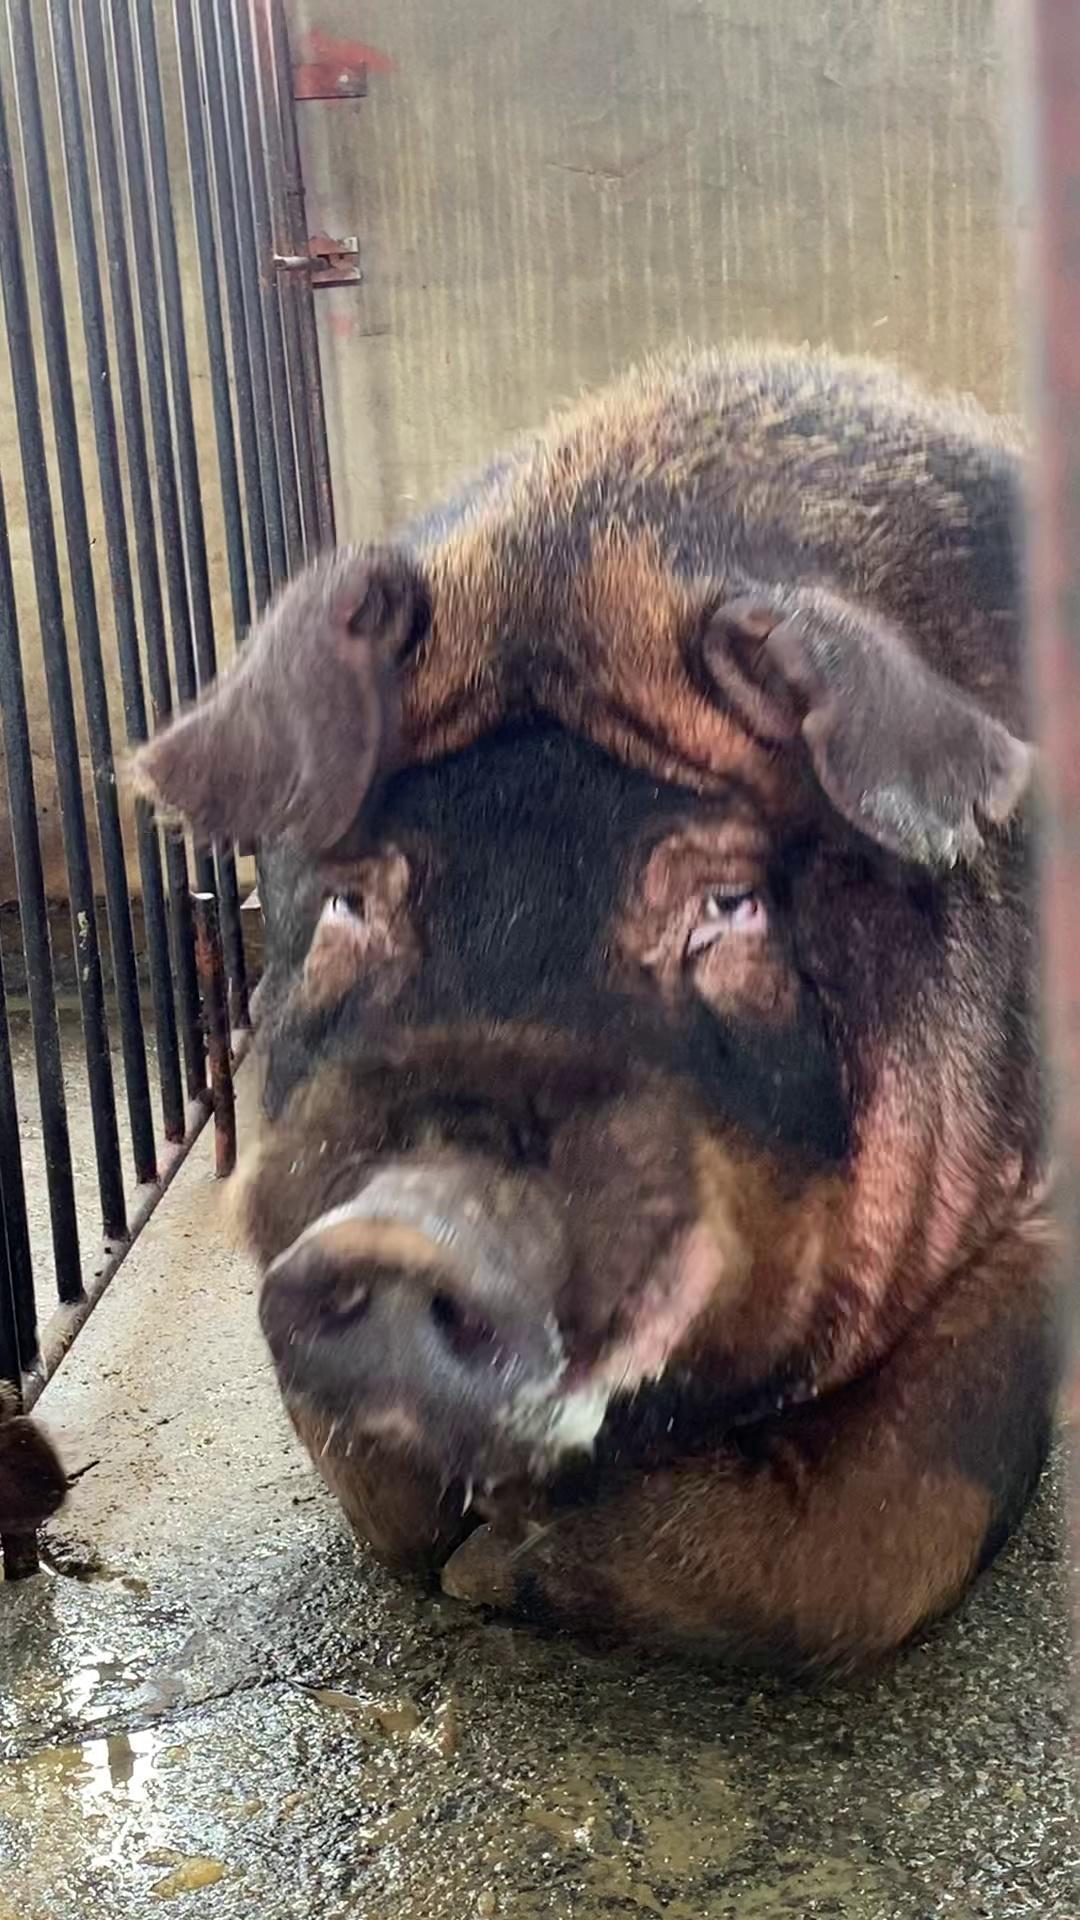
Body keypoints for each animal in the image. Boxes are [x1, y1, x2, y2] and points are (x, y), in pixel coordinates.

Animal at [133, 344, 1056, 1672]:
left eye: (728, 904)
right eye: (353, 898)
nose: (405, 1228)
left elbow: (894, 1518)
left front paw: (491, 1572)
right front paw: (461, 1544)